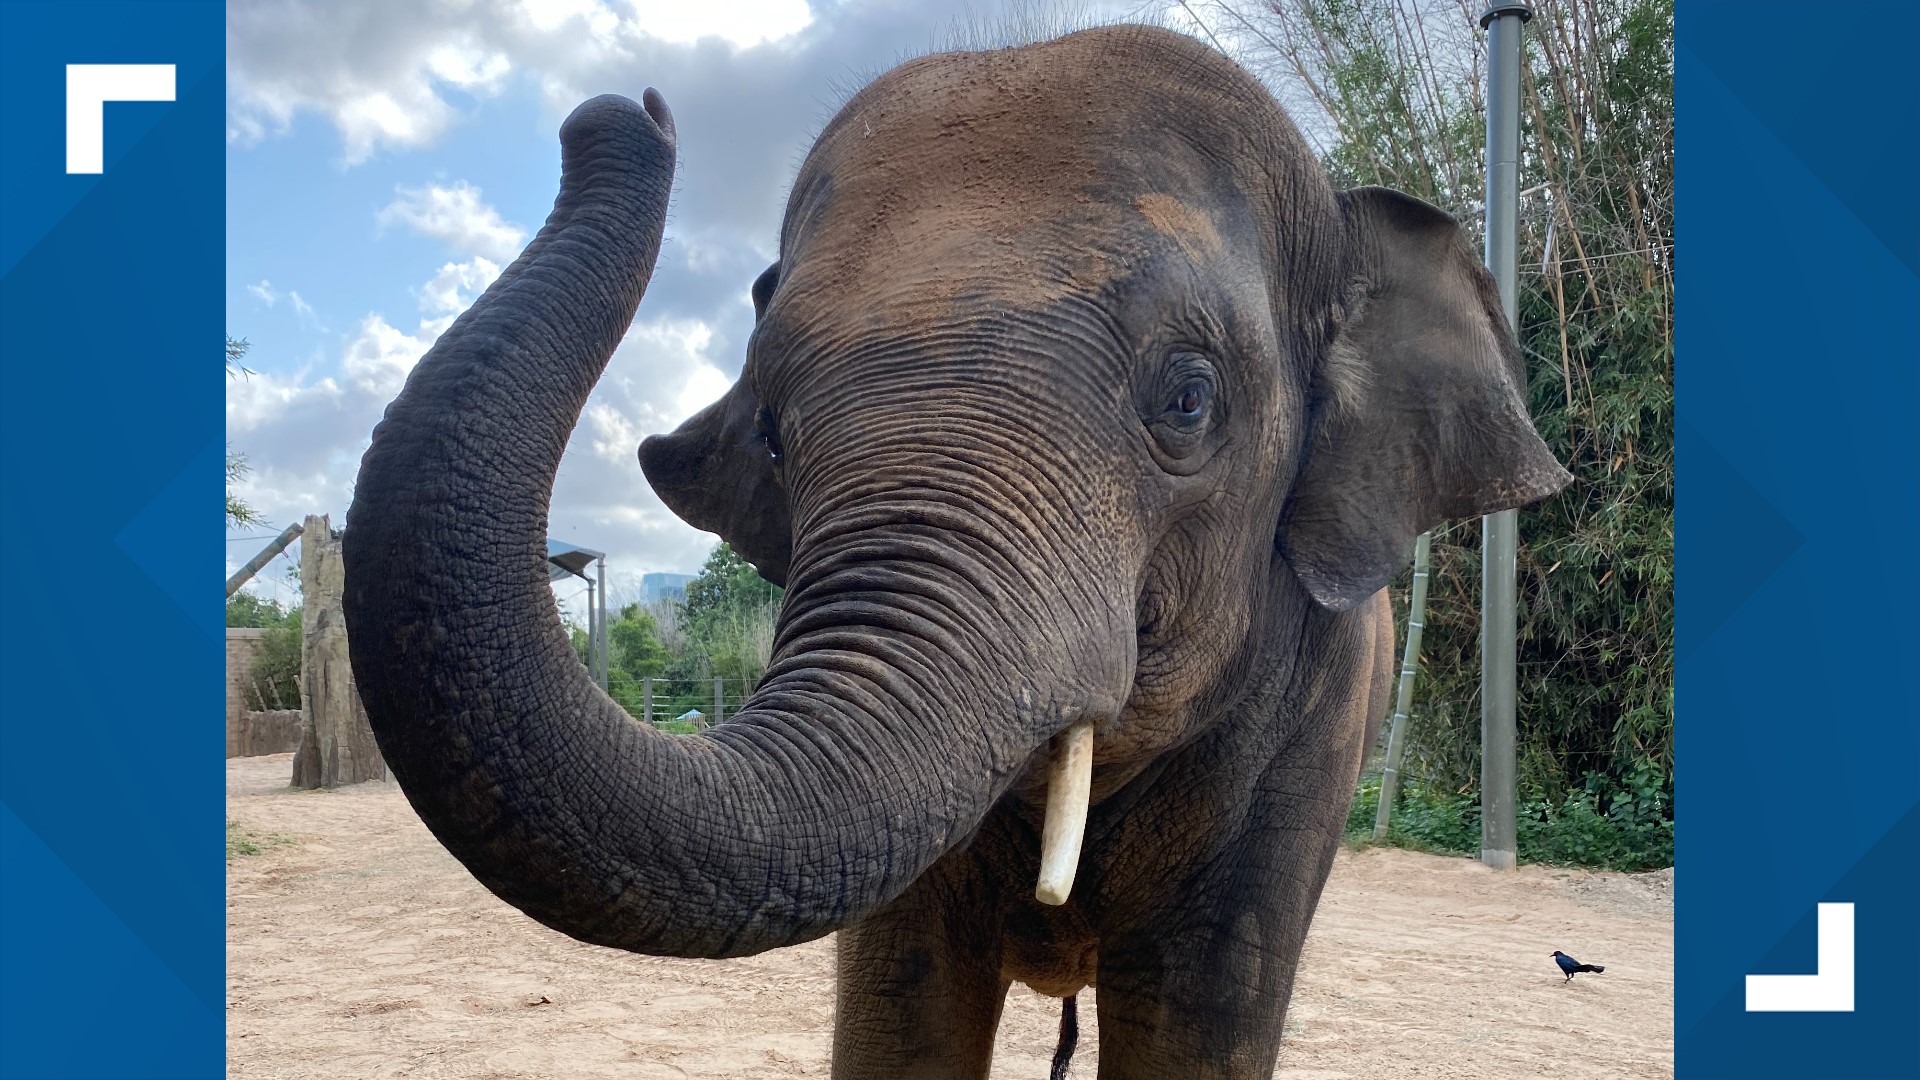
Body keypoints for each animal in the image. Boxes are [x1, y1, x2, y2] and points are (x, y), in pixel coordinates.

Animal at [342, 24, 1569, 1080]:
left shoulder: (1313, 724)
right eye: (773, 433)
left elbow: (1202, 1018)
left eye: (1188, 398)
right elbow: (903, 1008)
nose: (628, 113)